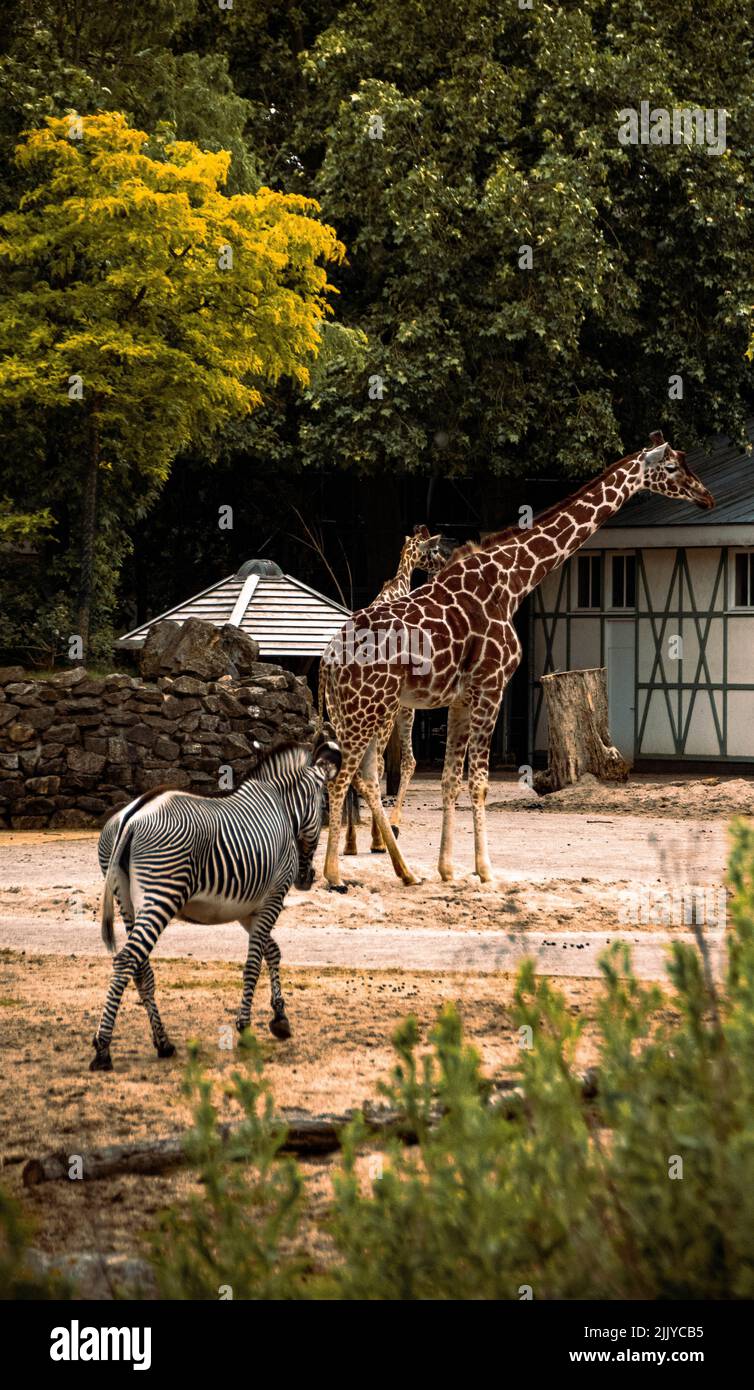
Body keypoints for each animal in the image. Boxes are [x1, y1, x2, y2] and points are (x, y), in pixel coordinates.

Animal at [90, 738, 341, 1072]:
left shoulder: (249, 909)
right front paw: (245, 1027)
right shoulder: (272, 898)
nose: (306, 879)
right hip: (161, 893)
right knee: (126, 960)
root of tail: (132, 816)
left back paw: (163, 1043)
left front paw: (280, 1018)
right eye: (323, 806)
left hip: (126, 901)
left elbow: (272, 951)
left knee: (142, 970)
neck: (281, 804)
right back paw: (103, 1050)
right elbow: (253, 964)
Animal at [320, 432, 714, 890]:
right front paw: (484, 869)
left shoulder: (461, 697)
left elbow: (450, 780)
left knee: (362, 774)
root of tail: (329, 657)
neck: (512, 580)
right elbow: (479, 783)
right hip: (370, 706)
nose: (705, 496)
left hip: (360, 709)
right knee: (343, 776)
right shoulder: (492, 685)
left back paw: (404, 871)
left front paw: (446, 869)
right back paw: (334, 874)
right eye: (671, 468)